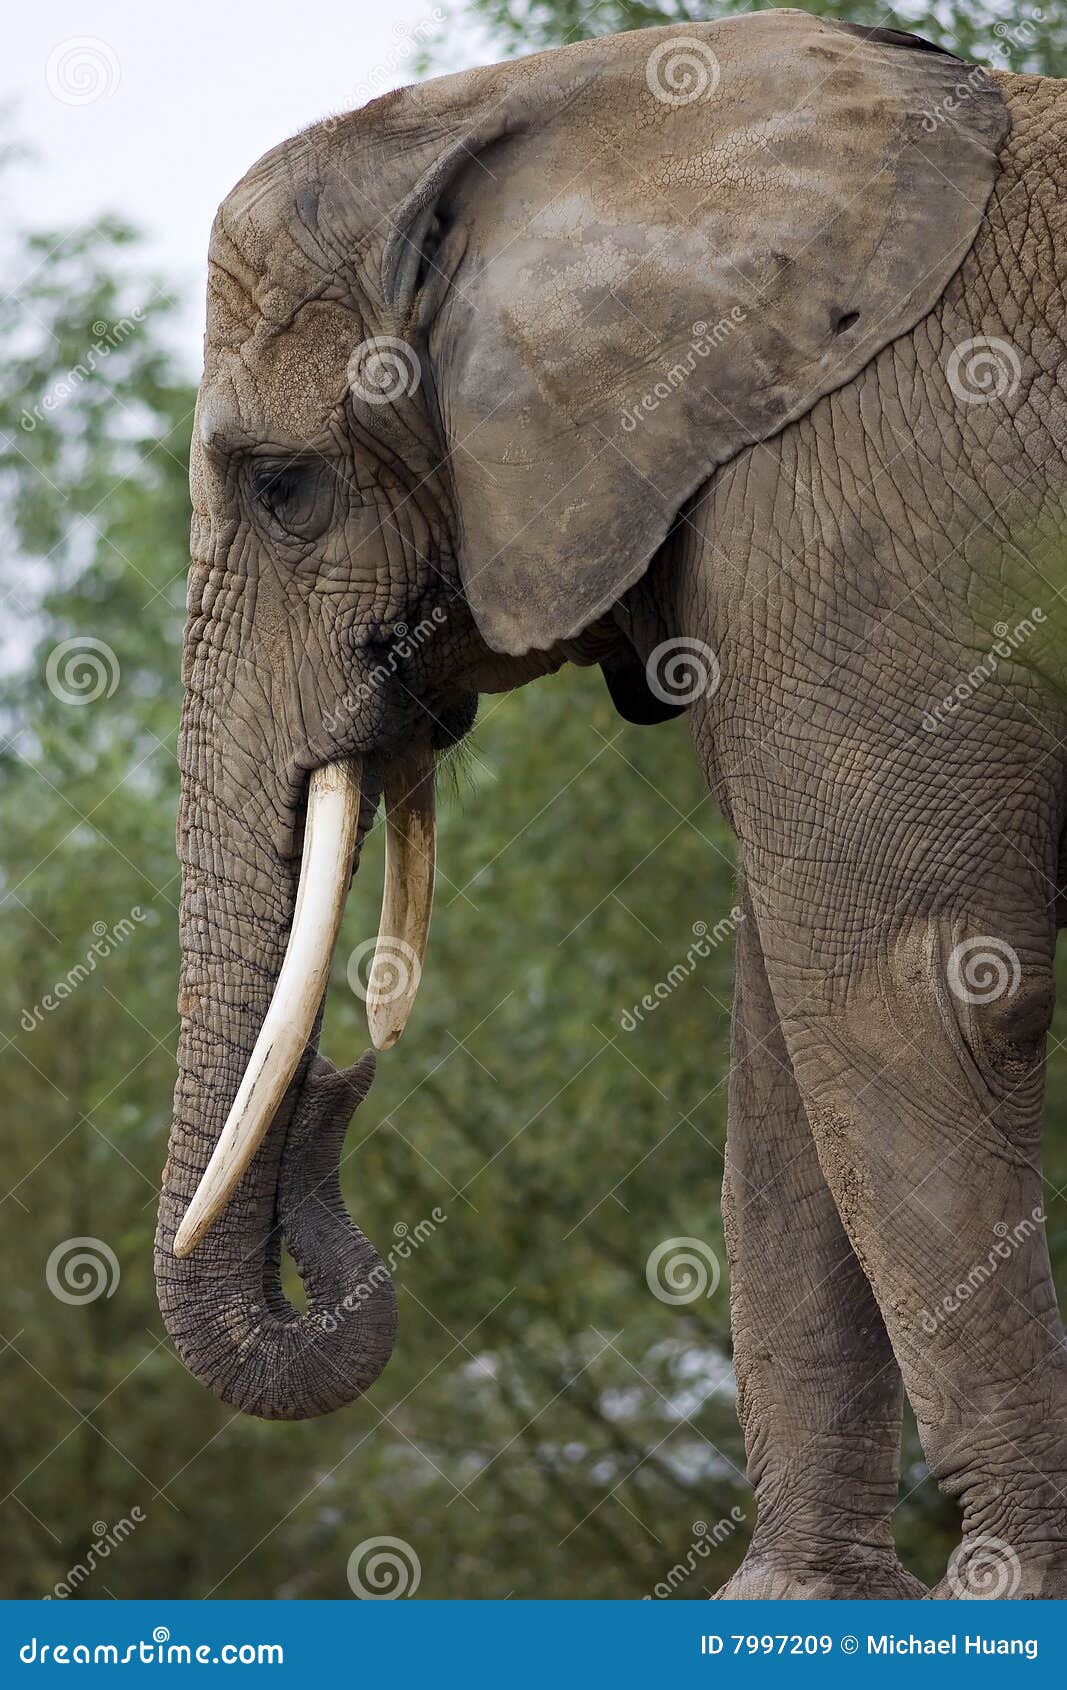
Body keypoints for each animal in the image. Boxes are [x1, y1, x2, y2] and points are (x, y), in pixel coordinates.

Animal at [155, 7, 1067, 1599]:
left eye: (282, 490)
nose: (342, 1075)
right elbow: (787, 1026)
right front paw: (796, 1602)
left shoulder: (856, 496)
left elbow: (913, 989)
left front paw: (1003, 1590)